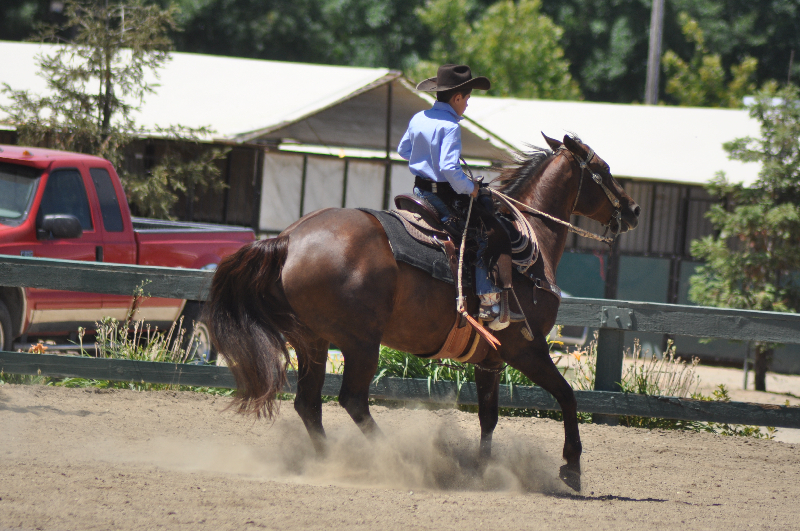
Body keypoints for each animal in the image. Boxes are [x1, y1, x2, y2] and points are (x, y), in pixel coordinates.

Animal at [206, 133, 640, 490]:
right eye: (604, 170)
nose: (634, 209)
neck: (530, 245)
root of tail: (288, 239)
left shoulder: (491, 359)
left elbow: (489, 417)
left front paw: (481, 473)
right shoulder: (526, 349)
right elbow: (567, 396)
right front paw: (572, 467)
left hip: (312, 342)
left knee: (309, 404)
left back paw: (330, 462)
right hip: (361, 344)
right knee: (352, 400)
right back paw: (396, 460)